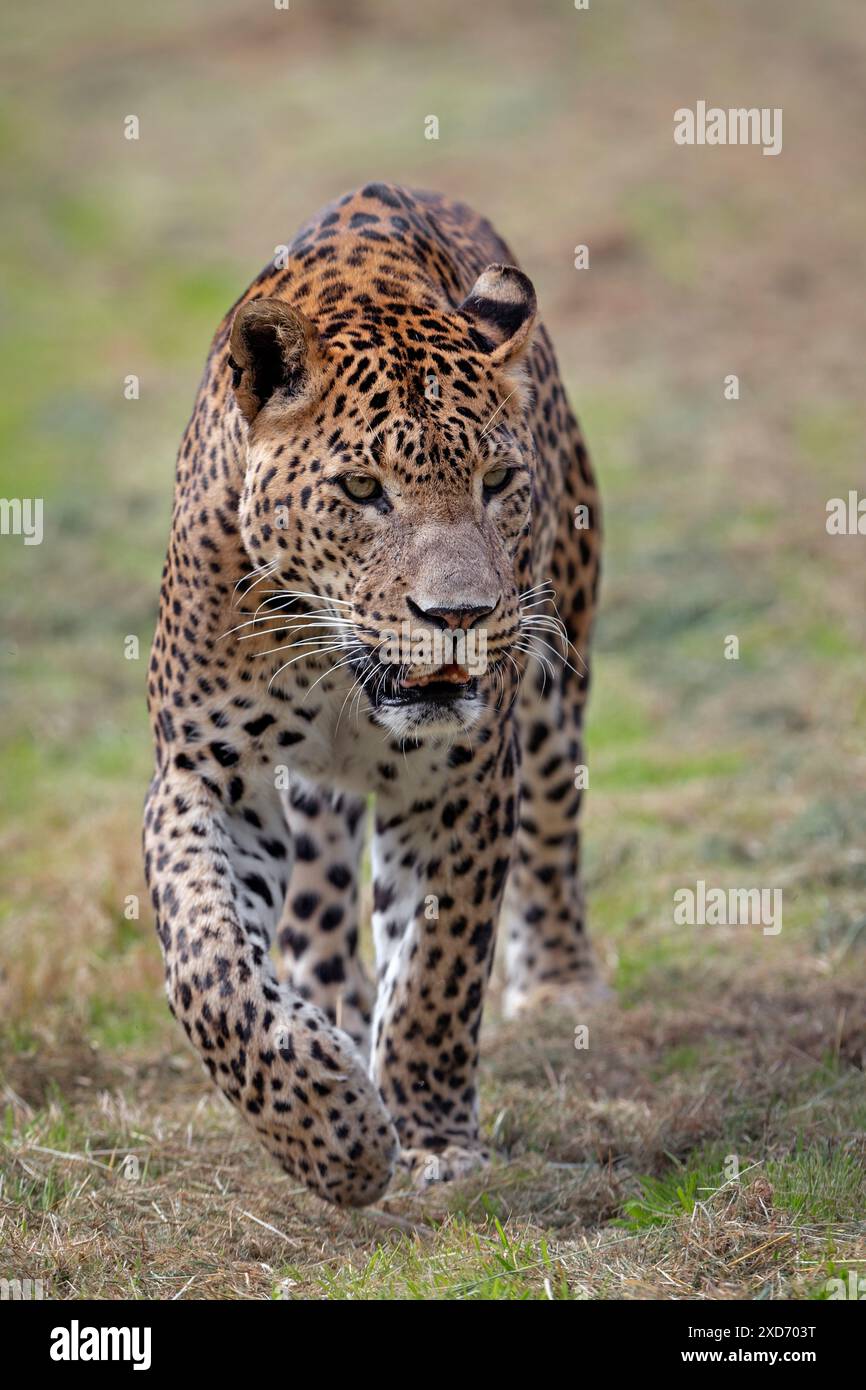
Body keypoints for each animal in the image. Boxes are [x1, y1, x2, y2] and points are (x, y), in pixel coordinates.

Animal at [144, 182, 602, 1207]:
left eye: (498, 480)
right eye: (362, 488)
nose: (460, 614)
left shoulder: (465, 777)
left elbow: (438, 969)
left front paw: (430, 1137)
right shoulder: (204, 771)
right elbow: (207, 963)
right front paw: (333, 1132)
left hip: (560, 669)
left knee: (554, 827)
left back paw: (560, 978)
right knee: (314, 907)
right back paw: (332, 1011)